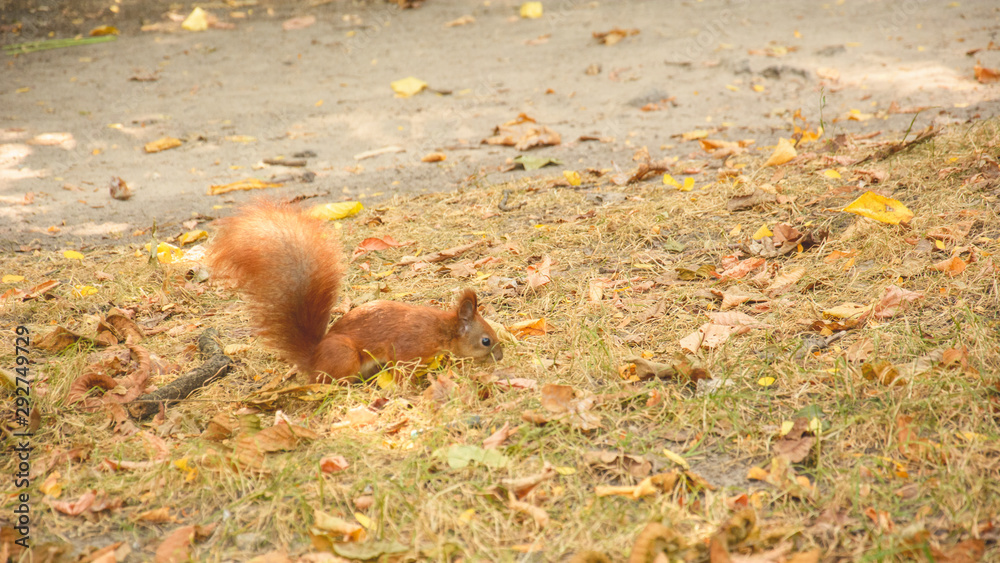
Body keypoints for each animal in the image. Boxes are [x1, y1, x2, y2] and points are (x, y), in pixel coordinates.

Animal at [207, 200, 503, 383]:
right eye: (485, 341)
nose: (500, 357)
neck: (441, 329)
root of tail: (312, 361)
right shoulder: (408, 346)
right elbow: (402, 369)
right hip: (344, 356)